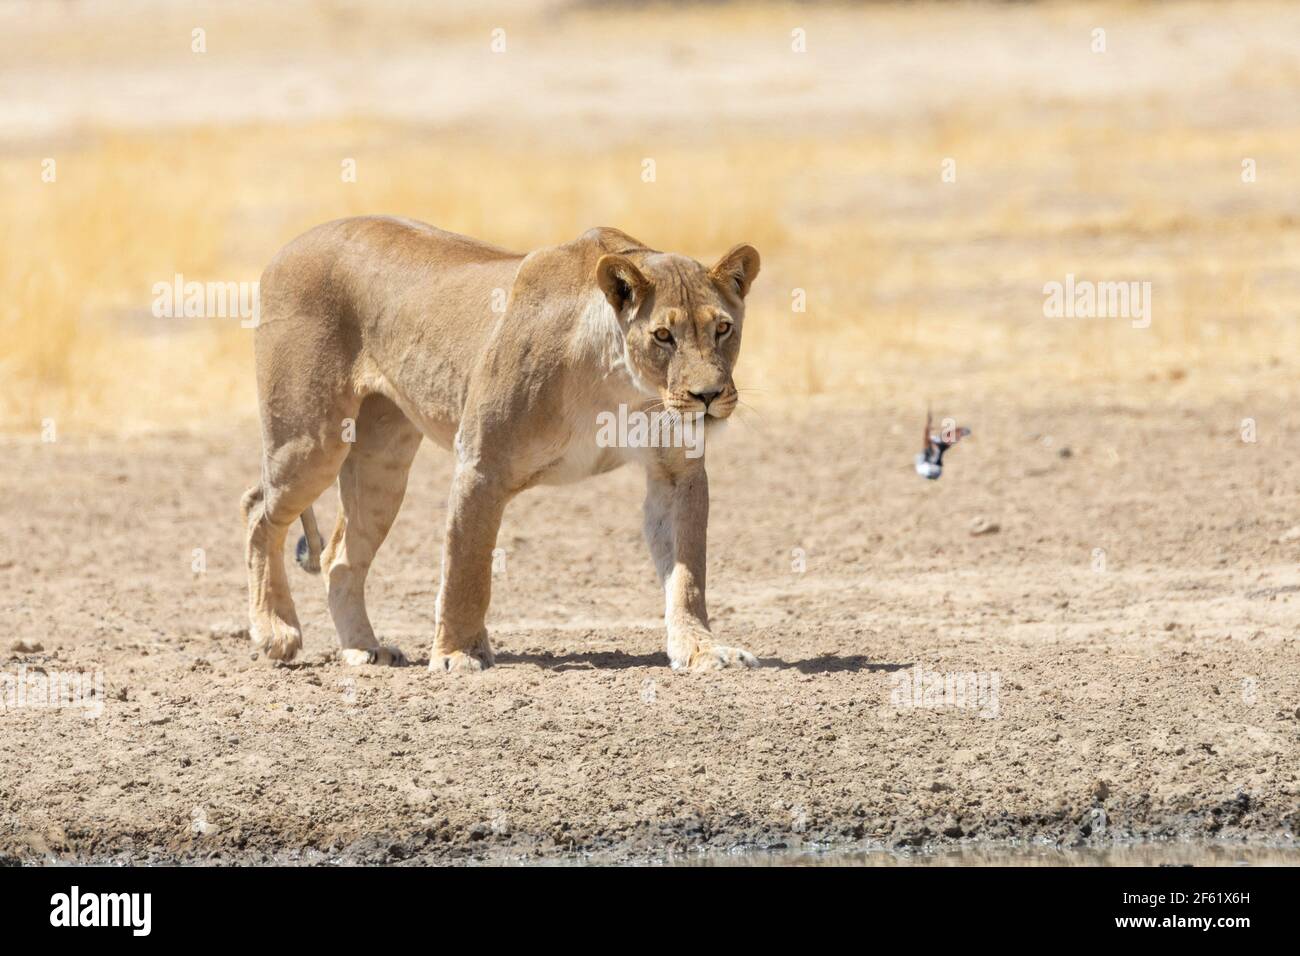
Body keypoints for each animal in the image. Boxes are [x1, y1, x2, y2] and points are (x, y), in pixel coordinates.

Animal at [241, 217, 760, 673]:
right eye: (663, 335)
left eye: (722, 328)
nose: (708, 396)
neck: (622, 385)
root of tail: (288, 246)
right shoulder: (481, 463)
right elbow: (466, 569)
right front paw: (457, 654)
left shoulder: (676, 474)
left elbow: (687, 573)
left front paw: (702, 649)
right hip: (310, 442)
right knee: (258, 510)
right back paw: (275, 631)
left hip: (380, 464)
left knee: (340, 557)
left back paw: (364, 650)